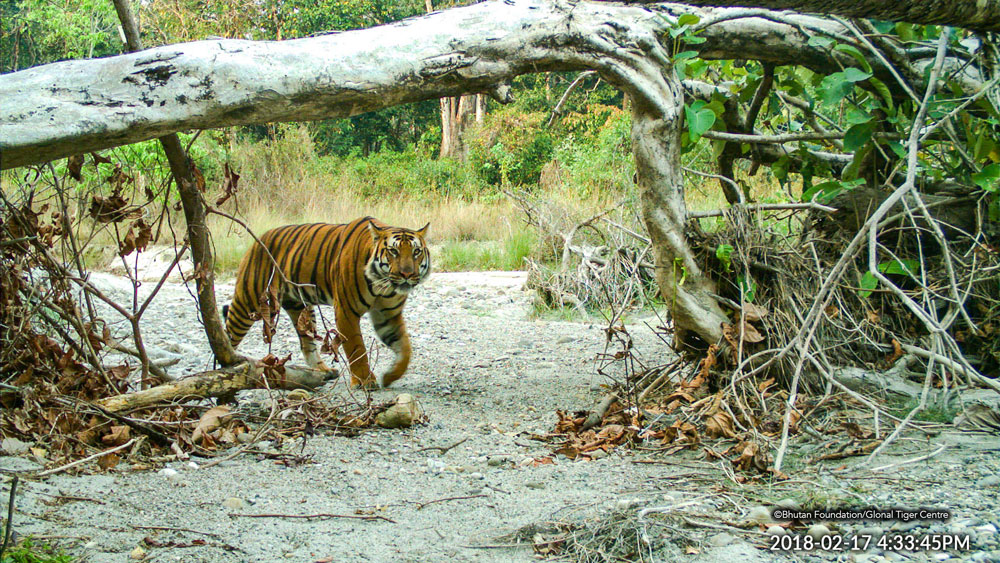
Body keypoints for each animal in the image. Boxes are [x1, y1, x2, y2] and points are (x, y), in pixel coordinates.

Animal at [222, 217, 431, 388]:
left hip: (301, 308)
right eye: (393, 251)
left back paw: (323, 370)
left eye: (416, 252)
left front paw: (389, 377)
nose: (407, 274)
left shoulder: (388, 315)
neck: (383, 286)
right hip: (248, 301)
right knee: (228, 336)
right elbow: (357, 349)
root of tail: (258, 240)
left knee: (306, 343)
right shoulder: (346, 313)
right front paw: (365, 381)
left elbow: (405, 349)